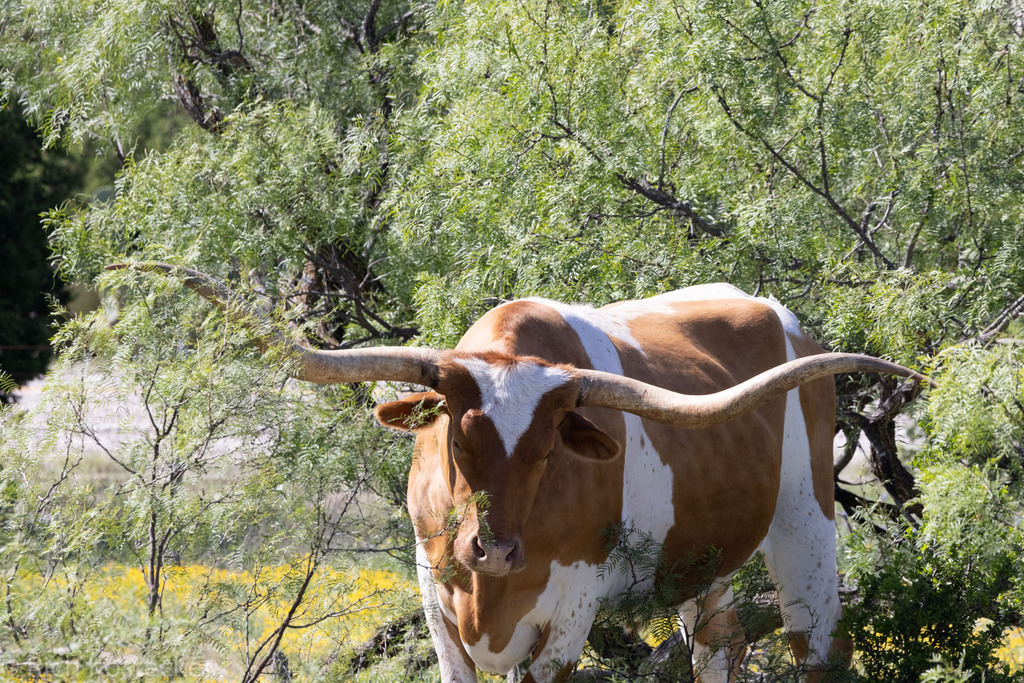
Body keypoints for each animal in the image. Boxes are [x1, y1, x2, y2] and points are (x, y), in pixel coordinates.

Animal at [110, 263, 926, 682]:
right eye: (455, 436)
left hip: (805, 521)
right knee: (720, 642)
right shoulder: (436, 601)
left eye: (546, 448)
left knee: (816, 644)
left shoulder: (570, 607)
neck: (488, 590)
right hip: (702, 558)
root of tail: (780, 316)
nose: (494, 549)